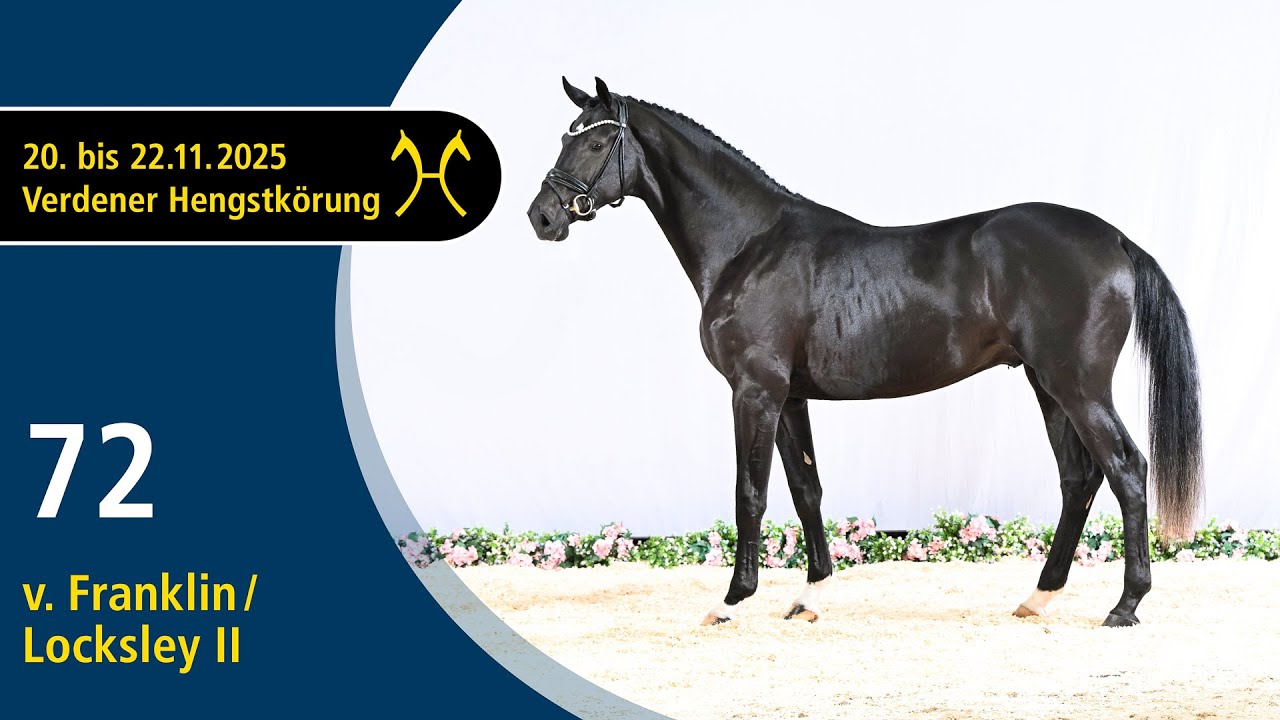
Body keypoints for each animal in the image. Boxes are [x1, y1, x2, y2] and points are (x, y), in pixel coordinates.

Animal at [527, 77, 1203, 628]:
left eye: (596, 143)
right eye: (566, 136)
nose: (543, 216)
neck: (751, 245)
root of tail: (1114, 239)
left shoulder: (755, 390)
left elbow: (751, 493)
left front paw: (731, 601)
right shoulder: (789, 396)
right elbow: (806, 489)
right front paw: (809, 597)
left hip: (1077, 383)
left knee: (1125, 469)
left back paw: (1125, 605)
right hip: (1046, 381)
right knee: (1078, 477)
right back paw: (1039, 597)